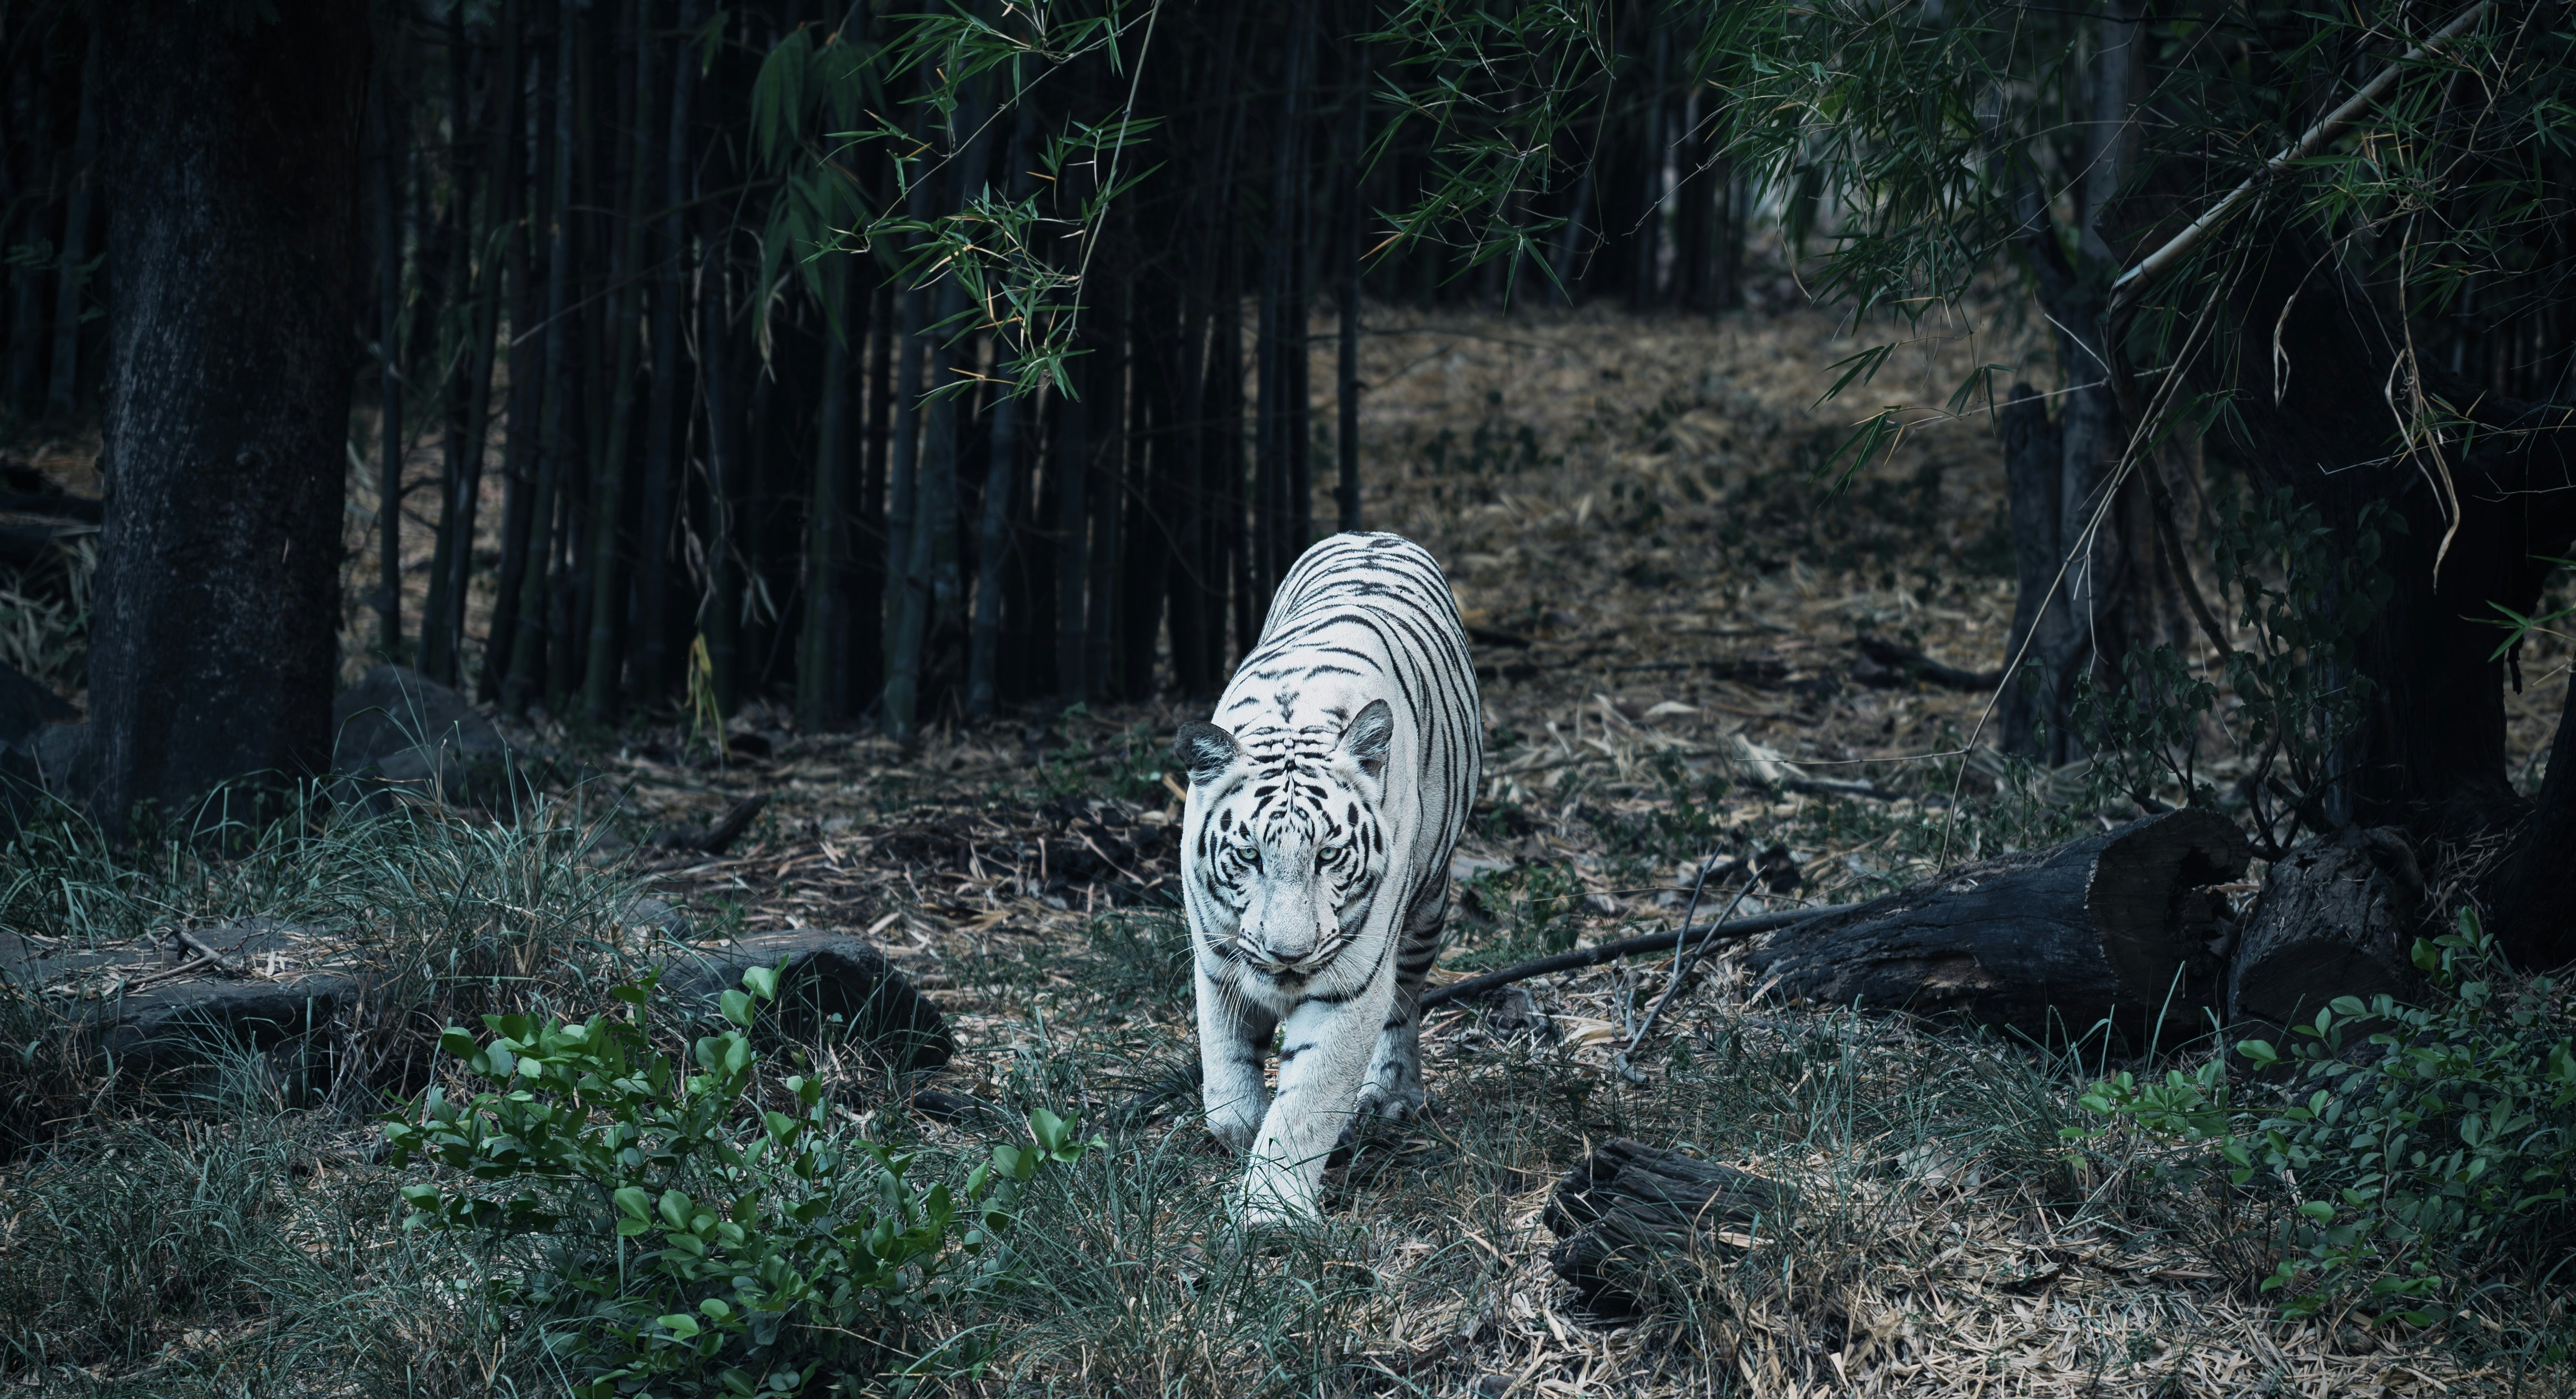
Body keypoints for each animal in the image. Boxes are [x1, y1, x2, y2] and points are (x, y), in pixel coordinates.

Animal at [1173, 532, 1482, 1223]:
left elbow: (1307, 1102)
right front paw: (1244, 1130)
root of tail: (1373, 534)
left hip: (1427, 907)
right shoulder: (1215, 958)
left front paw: (1271, 1216)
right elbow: (1226, 1085)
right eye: (1250, 857)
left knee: (1404, 1006)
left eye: (1329, 856)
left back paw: (1390, 1095)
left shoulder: (1349, 980)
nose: (1288, 954)